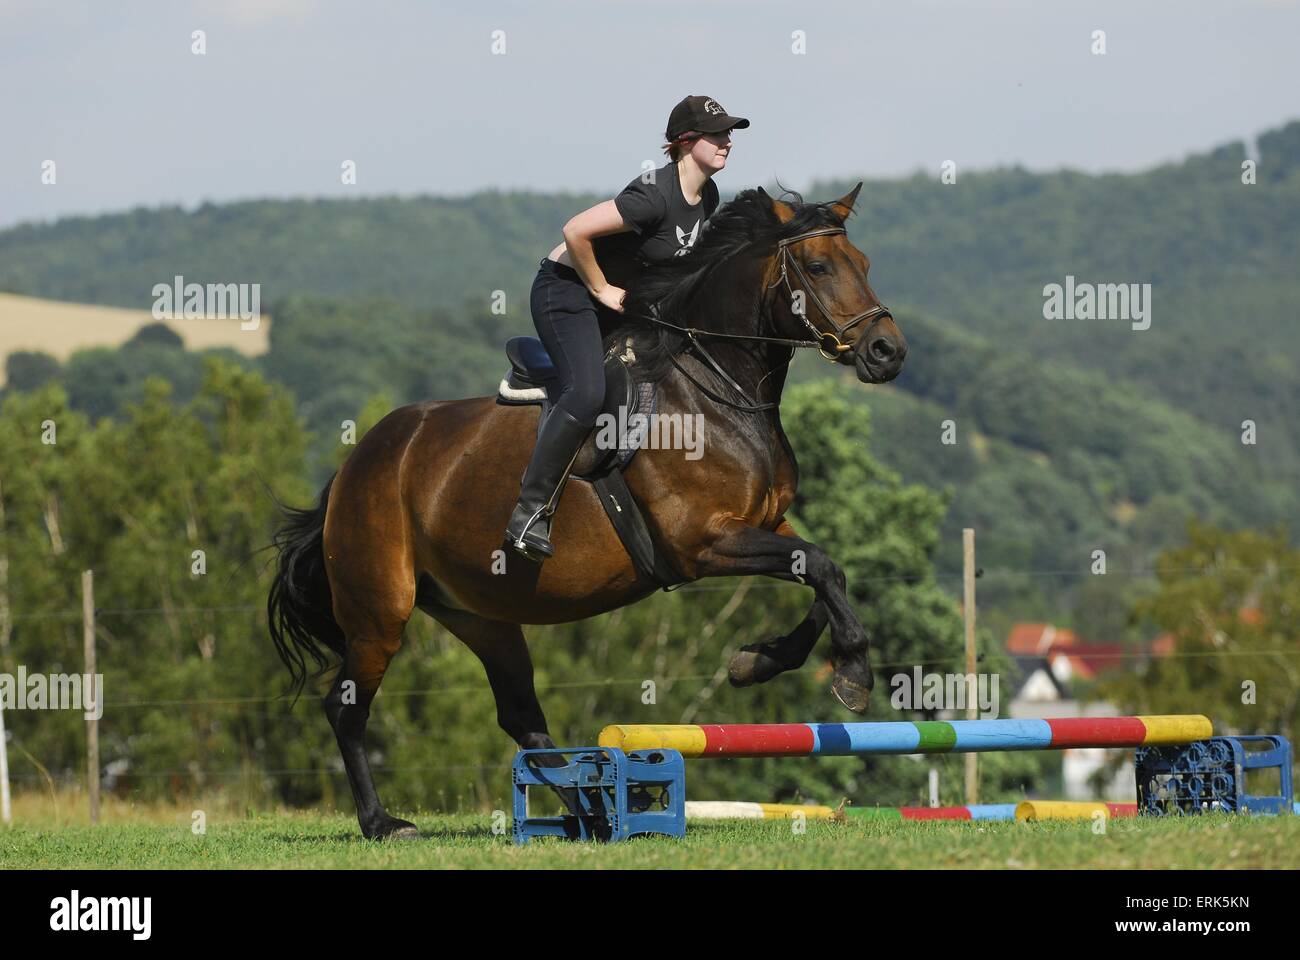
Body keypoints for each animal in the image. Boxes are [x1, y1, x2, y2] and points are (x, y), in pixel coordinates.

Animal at [267, 182, 907, 838]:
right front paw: (854, 675)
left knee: (521, 717)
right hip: (381, 612)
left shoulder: (765, 525)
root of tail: (354, 464)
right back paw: (383, 822)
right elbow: (823, 565)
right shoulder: (702, 542)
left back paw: (592, 814)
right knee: (345, 709)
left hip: (481, 614)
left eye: (864, 264)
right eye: (818, 267)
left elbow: (826, 573)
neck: (715, 389)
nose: (887, 352)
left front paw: (755, 662)